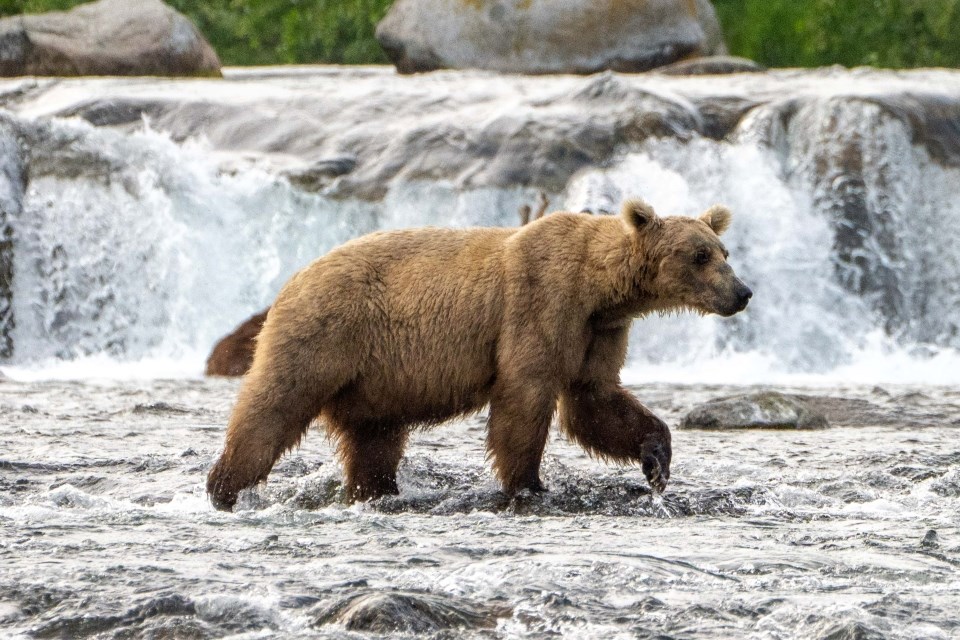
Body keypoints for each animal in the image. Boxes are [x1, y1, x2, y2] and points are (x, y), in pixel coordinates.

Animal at [207, 199, 752, 511]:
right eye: (701, 255)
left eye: (723, 251)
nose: (743, 292)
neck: (600, 287)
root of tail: (293, 278)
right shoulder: (541, 303)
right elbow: (524, 397)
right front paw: (528, 485)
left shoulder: (598, 332)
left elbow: (595, 400)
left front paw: (656, 459)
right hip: (325, 332)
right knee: (274, 404)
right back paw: (225, 486)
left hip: (375, 379)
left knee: (374, 441)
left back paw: (376, 491)